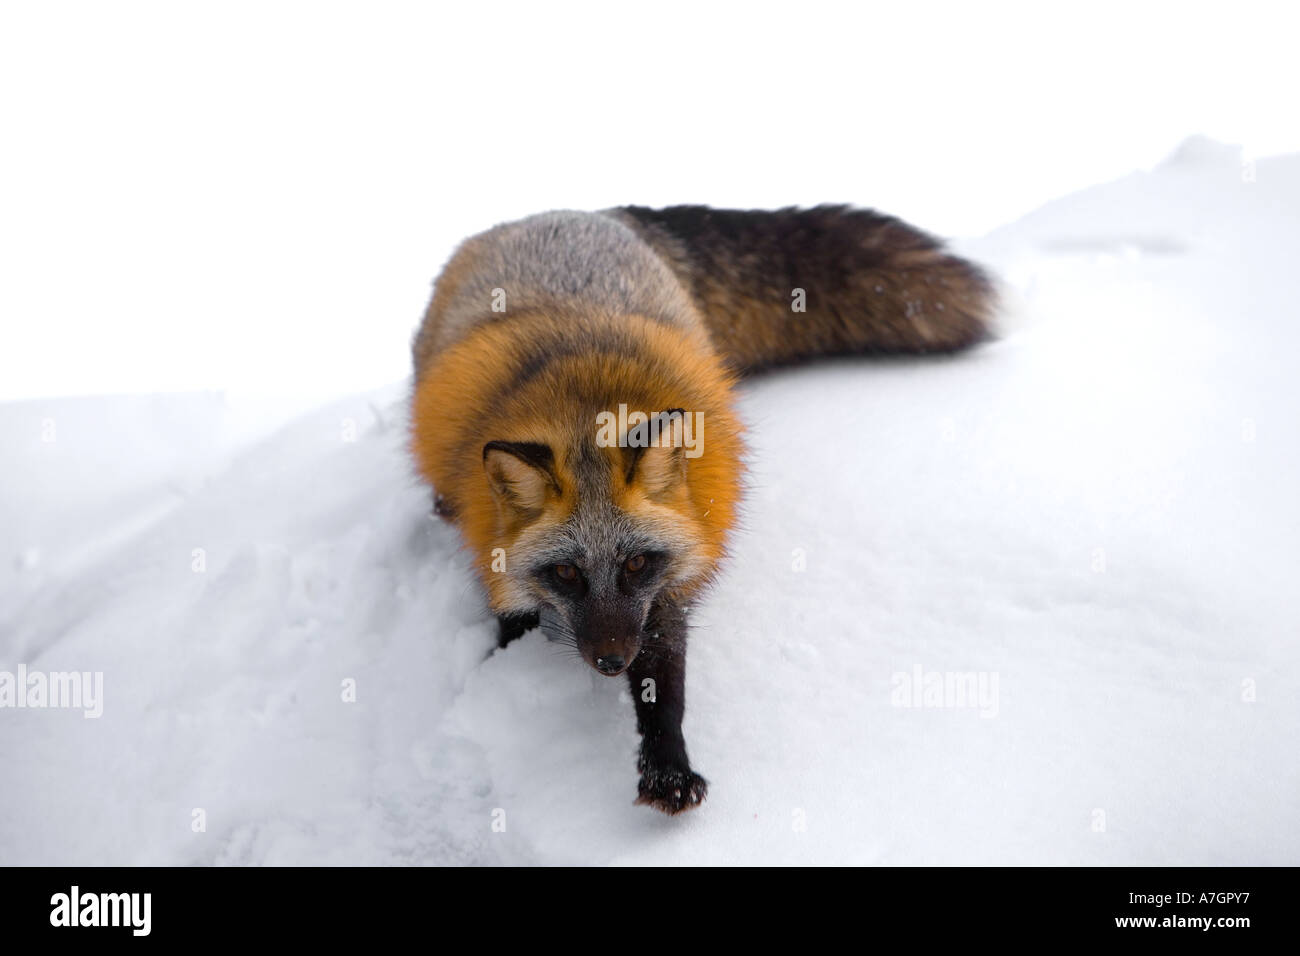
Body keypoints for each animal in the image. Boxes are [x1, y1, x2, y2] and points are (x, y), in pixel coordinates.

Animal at [409, 205, 995, 813]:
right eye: (566, 572)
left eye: (635, 563)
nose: (611, 662)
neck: (583, 405)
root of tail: (582, 213)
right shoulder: (496, 552)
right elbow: (509, 615)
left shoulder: (667, 589)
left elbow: (666, 686)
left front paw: (667, 768)